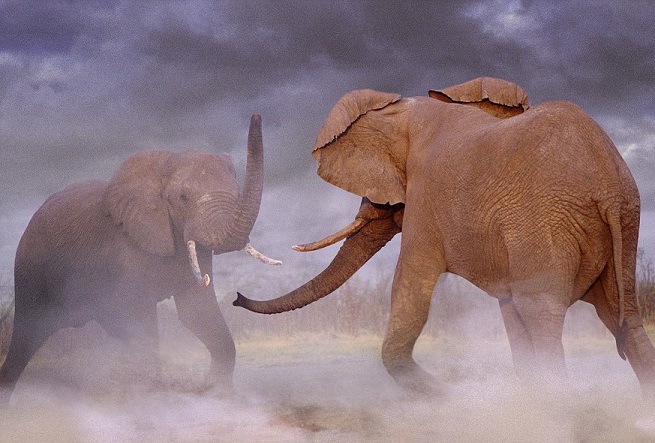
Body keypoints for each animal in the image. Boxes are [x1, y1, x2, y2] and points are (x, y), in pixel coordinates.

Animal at [0, 114, 280, 401]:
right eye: (183, 198)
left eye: (237, 193)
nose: (256, 116)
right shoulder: (124, 247)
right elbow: (142, 323)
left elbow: (197, 312)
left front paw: (217, 394)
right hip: (30, 270)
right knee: (26, 336)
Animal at [234, 78, 655, 396]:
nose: (235, 297)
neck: (406, 111)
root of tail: (608, 187)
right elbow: (510, 317)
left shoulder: (428, 196)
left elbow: (411, 289)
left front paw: (457, 397)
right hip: (620, 223)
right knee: (624, 318)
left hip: (549, 220)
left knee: (542, 315)